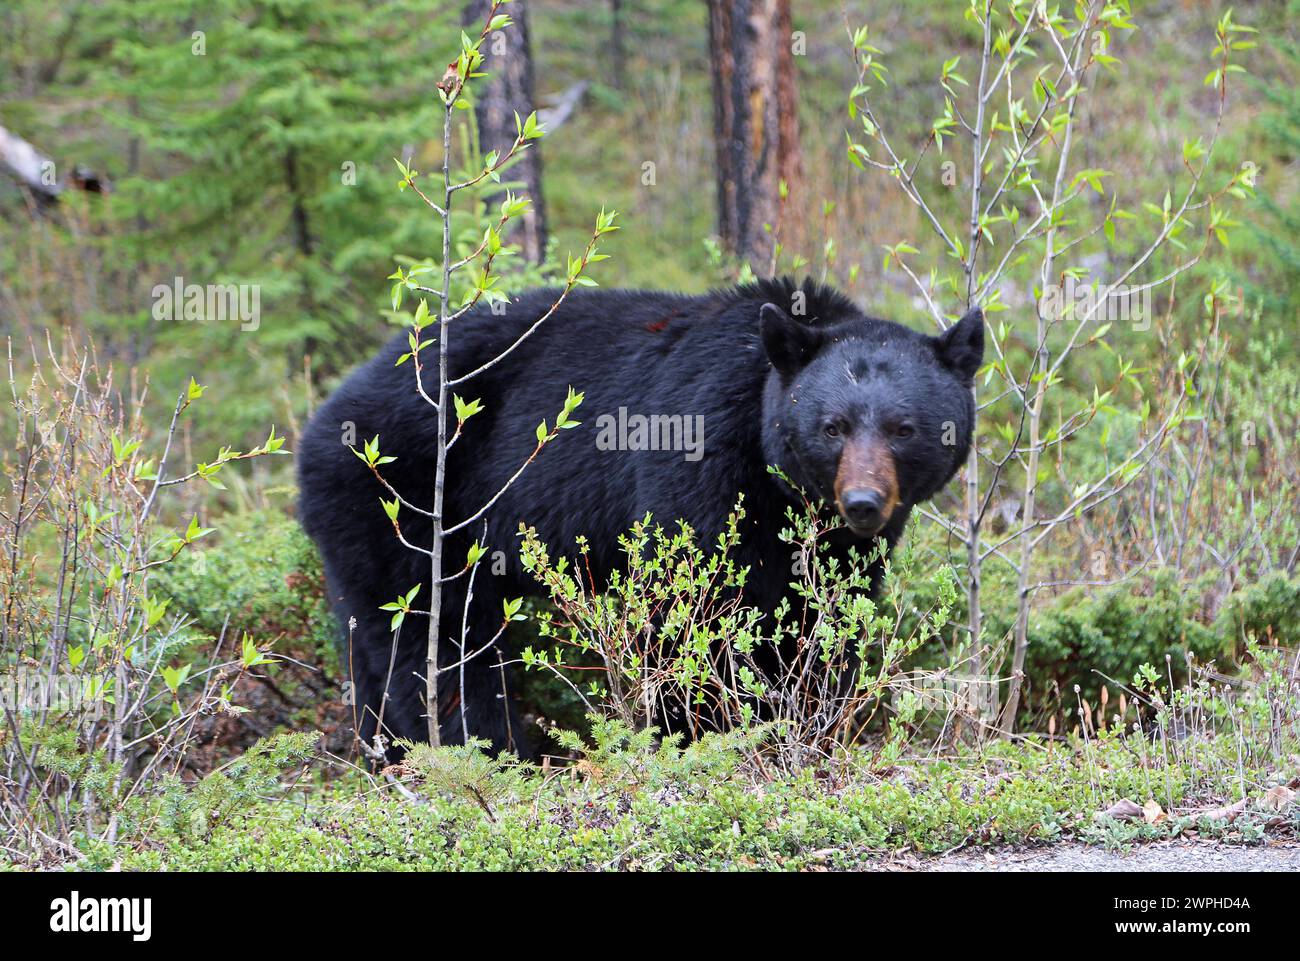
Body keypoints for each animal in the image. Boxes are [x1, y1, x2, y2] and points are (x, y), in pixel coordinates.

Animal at [297, 277, 982, 757]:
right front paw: (708, 730)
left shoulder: (841, 544)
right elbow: (692, 604)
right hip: (397, 501)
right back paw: (490, 747)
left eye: (902, 429)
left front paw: (812, 718)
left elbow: (824, 613)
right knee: (431, 639)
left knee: (374, 647)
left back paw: (385, 751)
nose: (863, 502)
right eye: (833, 427)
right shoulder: (698, 457)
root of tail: (325, 416)